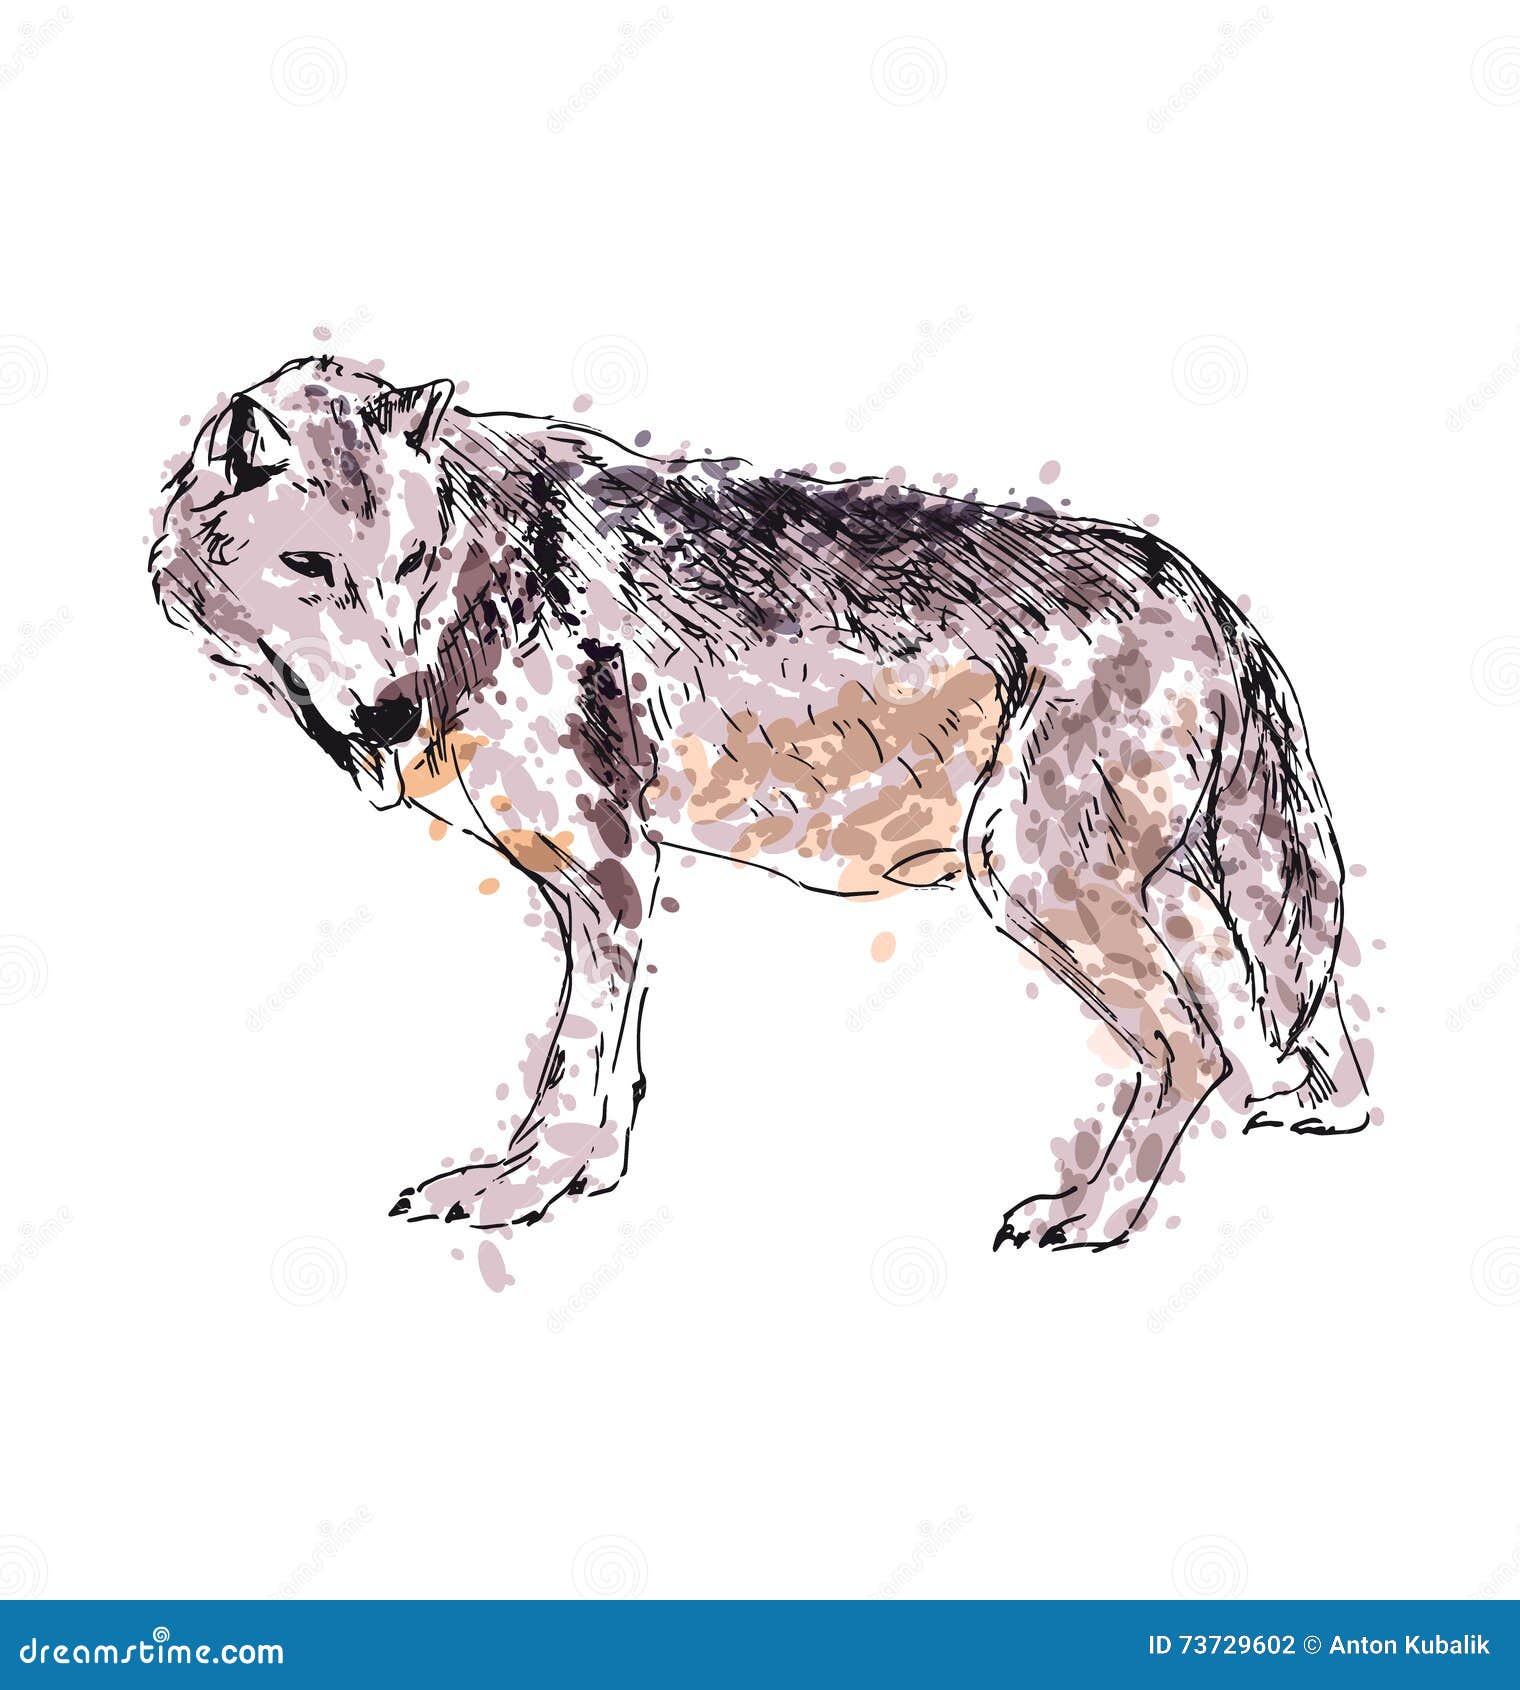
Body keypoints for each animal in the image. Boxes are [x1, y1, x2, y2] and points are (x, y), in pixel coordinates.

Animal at [149, 355, 1372, 1254]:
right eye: (309, 566)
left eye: (406, 563)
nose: (394, 712)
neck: (483, 583)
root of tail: (1208, 592)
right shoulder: (618, 878)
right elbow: (612, 1071)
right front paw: (584, 1181)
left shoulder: (606, 869)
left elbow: (571, 1069)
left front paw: (523, 1190)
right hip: (1161, 900)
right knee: (1274, 1037)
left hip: (1029, 883)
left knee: (1193, 1049)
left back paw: (1095, 1218)